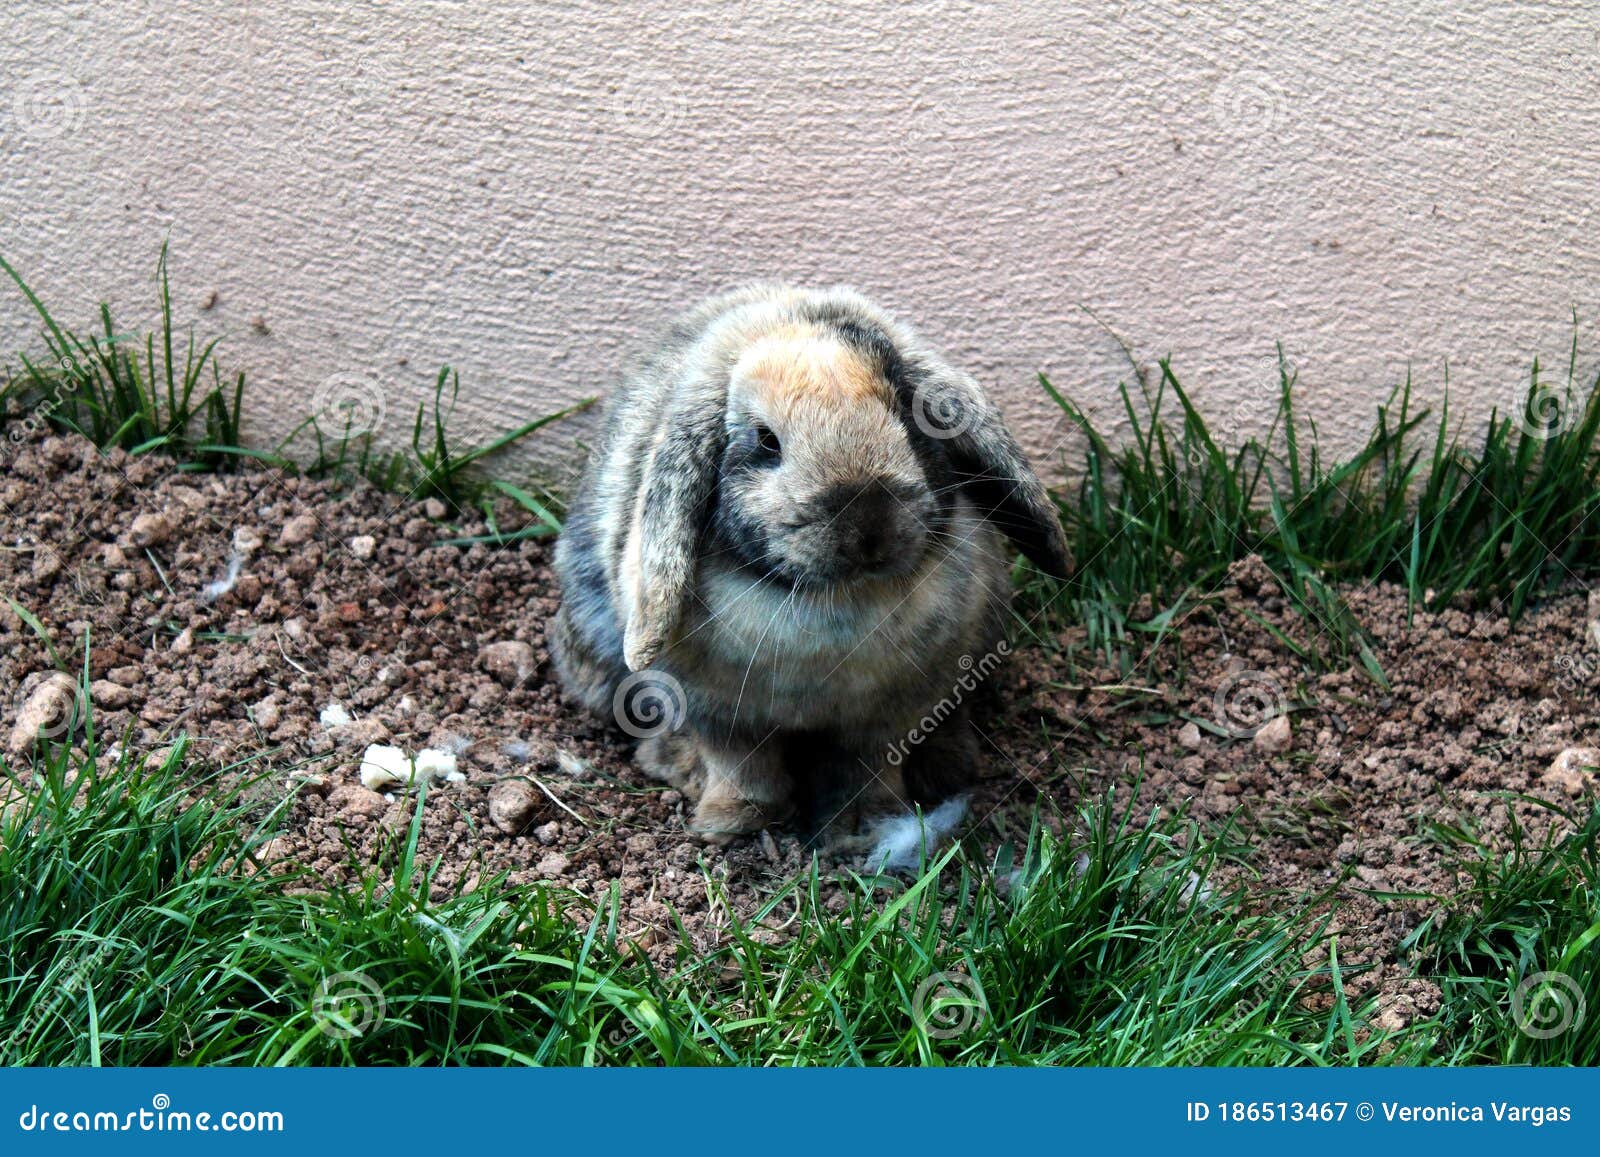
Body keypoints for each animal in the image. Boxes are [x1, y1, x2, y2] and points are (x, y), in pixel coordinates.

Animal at [548, 285, 1069, 847]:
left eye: (909, 415)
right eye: (766, 441)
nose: (869, 526)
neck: (833, 601)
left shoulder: (886, 717)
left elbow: (866, 770)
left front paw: (865, 828)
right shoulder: (720, 718)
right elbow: (740, 770)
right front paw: (730, 823)